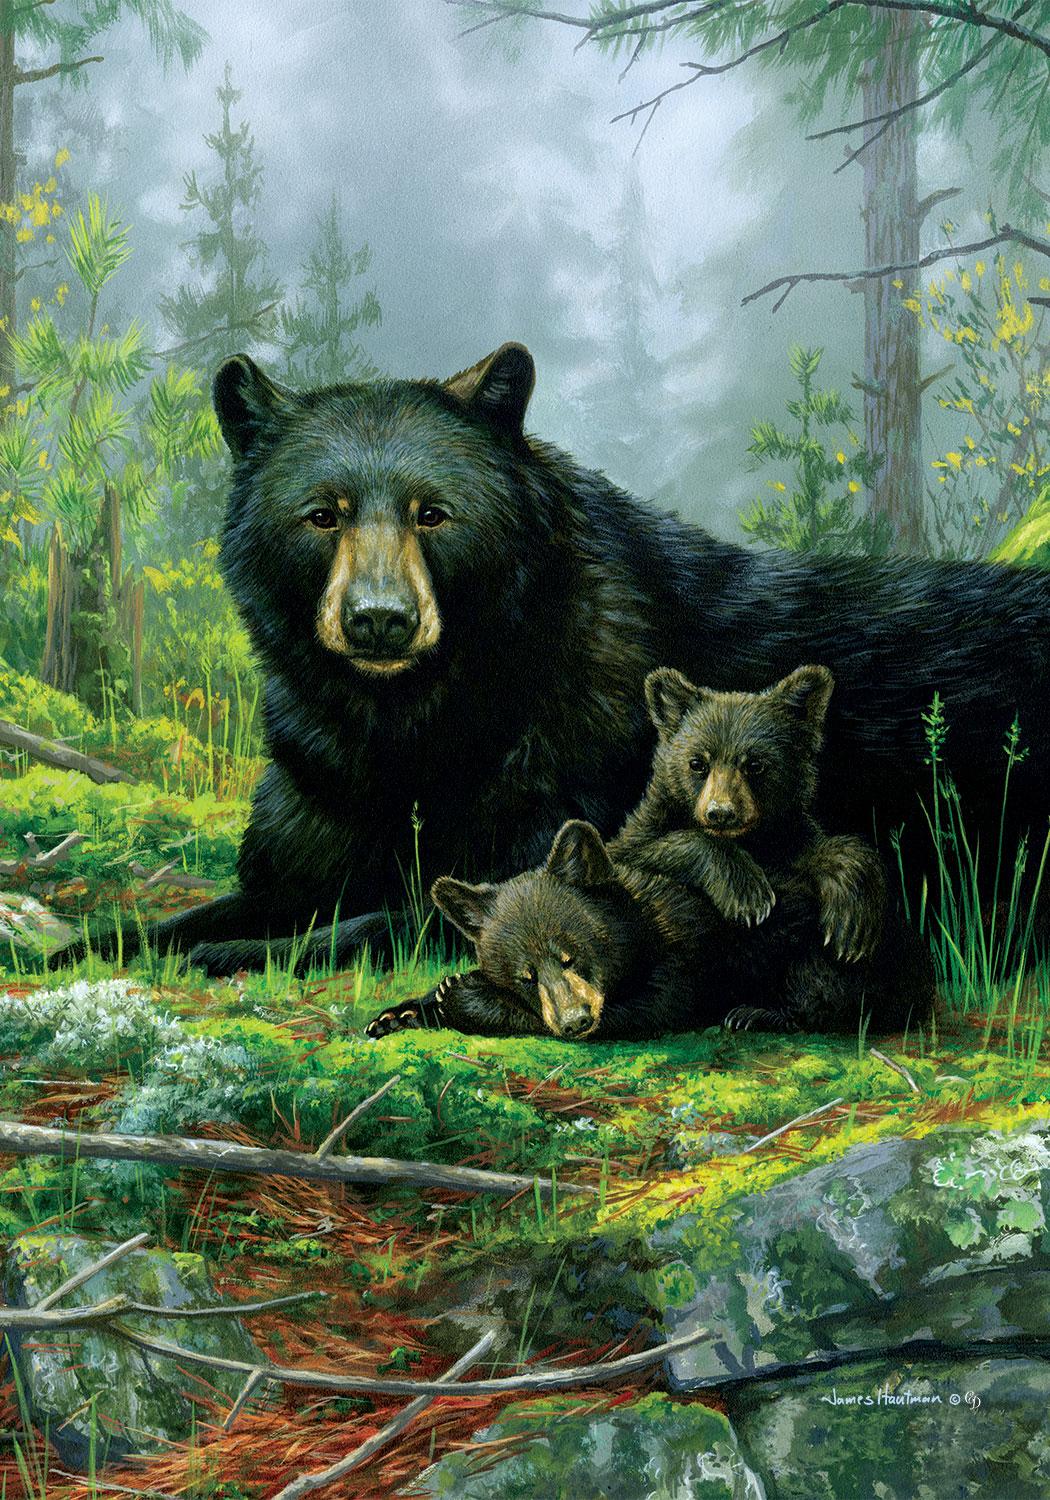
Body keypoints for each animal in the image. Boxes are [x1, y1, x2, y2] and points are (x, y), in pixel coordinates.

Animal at [364, 818, 934, 1042]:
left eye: (572, 954)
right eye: (526, 974)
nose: (575, 1021)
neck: (639, 927)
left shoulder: (681, 954)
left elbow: (654, 1008)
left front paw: (462, 994)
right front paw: (399, 1013)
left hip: (829, 952)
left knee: (823, 994)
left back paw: (754, 1014)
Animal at [611, 663, 887, 966]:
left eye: (755, 764)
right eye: (697, 763)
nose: (720, 813)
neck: (749, 839)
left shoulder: (788, 835)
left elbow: (825, 850)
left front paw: (852, 925)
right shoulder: (643, 829)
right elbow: (641, 850)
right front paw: (748, 896)